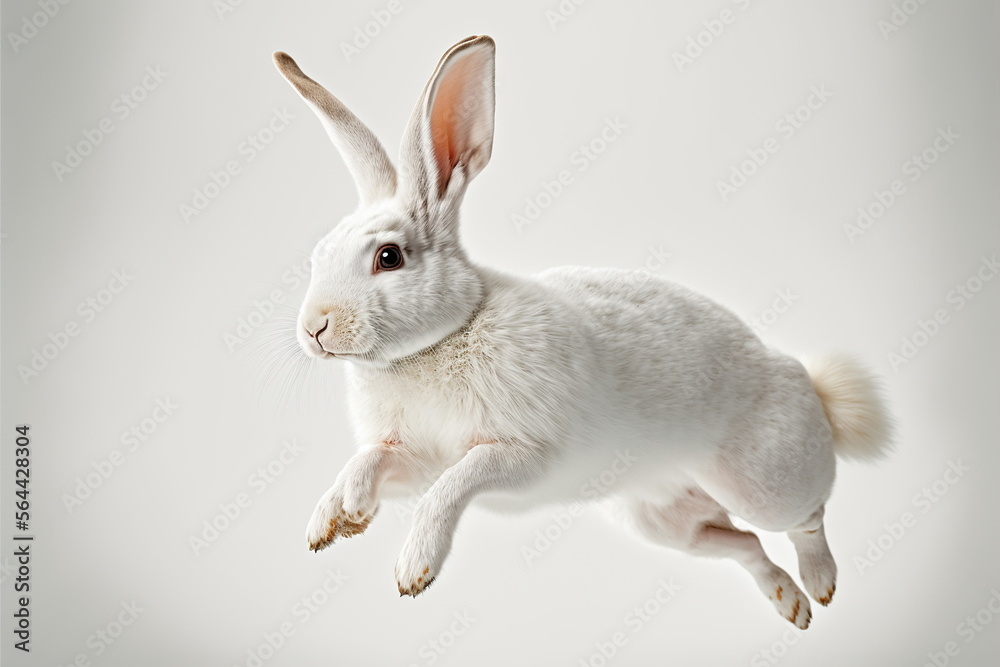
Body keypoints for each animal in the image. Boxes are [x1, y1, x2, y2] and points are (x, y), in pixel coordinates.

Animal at [271, 35, 893, 629]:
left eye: (389, 257)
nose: (314, 328)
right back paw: (791, 605)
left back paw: (820, 583)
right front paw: (337, 519)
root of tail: (809, 387)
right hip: (661, 522)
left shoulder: (520, 453)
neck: (439, 339)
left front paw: (413, 569)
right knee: (744, 546)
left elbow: (454, 484)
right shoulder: (413, 456)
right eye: (318, 257)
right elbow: (369, 462)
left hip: (766, 483)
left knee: (806, 519)